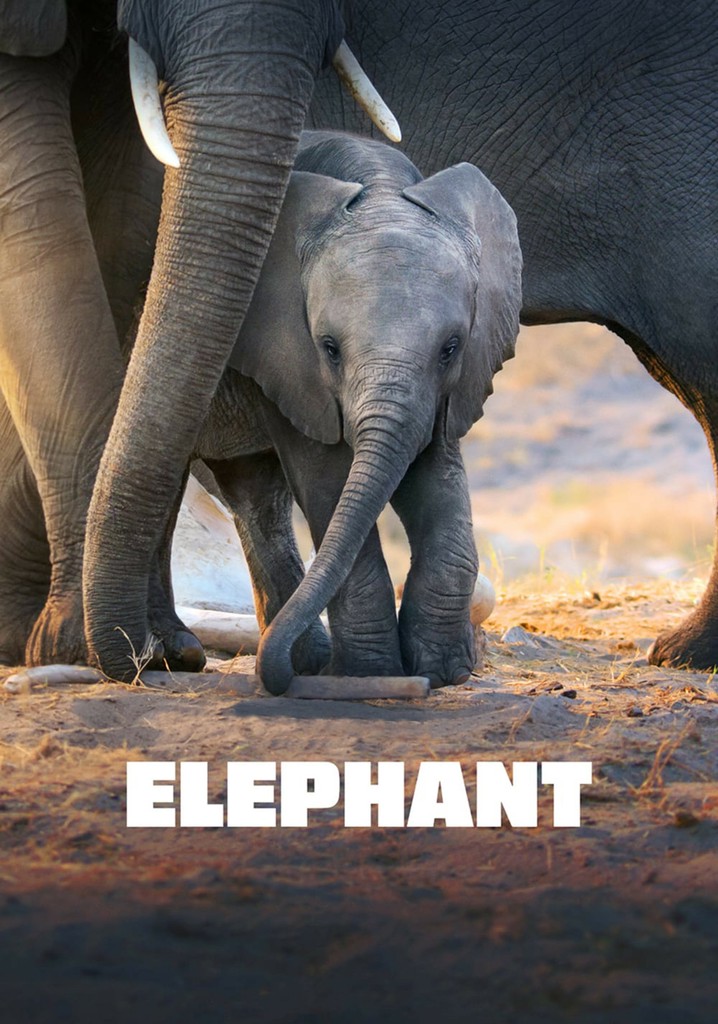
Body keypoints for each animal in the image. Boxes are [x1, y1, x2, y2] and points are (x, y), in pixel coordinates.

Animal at [2, 1, 717, 677]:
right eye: (328, 348)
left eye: (452, 348)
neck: (377, 184)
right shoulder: (291, 362)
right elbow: (327, 476)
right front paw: (377, 670)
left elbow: (435, 473)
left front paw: (441, 670)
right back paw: (176, 653)